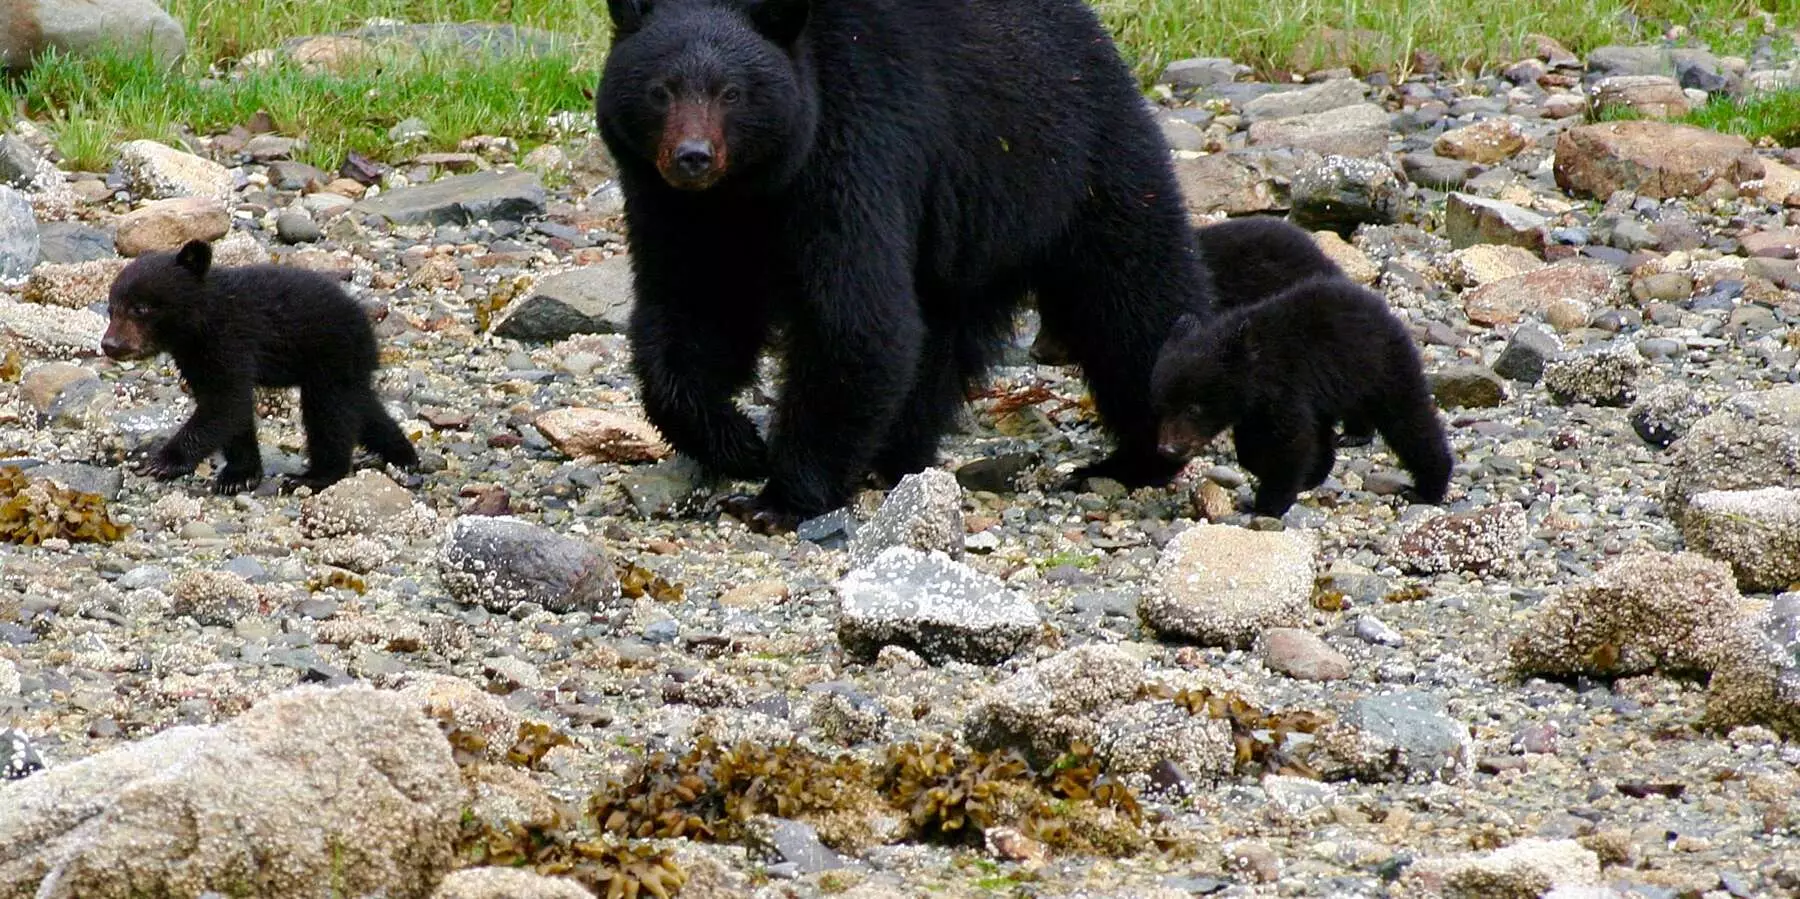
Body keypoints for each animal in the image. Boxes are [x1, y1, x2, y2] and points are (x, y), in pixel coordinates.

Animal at [102, 241, 417, 493]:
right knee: (363, 408)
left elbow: (225, 403)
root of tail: (367, 327)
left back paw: (316, 476)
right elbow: (232, 411)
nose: (110, 344)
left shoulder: (230, 340)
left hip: (332, 357)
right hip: (346, 367)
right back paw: (403, 455)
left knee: (330, 415)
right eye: (111, 308)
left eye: (140, 308)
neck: (201, 322)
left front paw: (163, 461)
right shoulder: (195, 357)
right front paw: (240, 474)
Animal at [594, 0, 1209, 529]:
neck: (745, 193)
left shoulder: (855, 146)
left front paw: (780, 498)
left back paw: (1137, 459)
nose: (692, 157)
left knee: (1135, 305)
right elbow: (692, 309)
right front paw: (736, 442)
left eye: (732, 93)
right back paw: (897, 454)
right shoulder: (672, 206)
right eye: (660, 91)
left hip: (1077, 165)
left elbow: (856, 319)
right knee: (940, 337)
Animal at [1152, 279, 1447, 522]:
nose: (1167, 449)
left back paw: (1427, 489)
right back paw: (1349, 439)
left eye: (1193, 408)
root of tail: (1383, 308)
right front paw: (1272, 471)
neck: (1257, 367)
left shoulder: (1287, 388)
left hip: (1385, 368)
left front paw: (1266, 505)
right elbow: (1251, 446)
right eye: (1162, 406)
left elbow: (1292, 441)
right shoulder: (1256, 408)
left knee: (1411, 422)